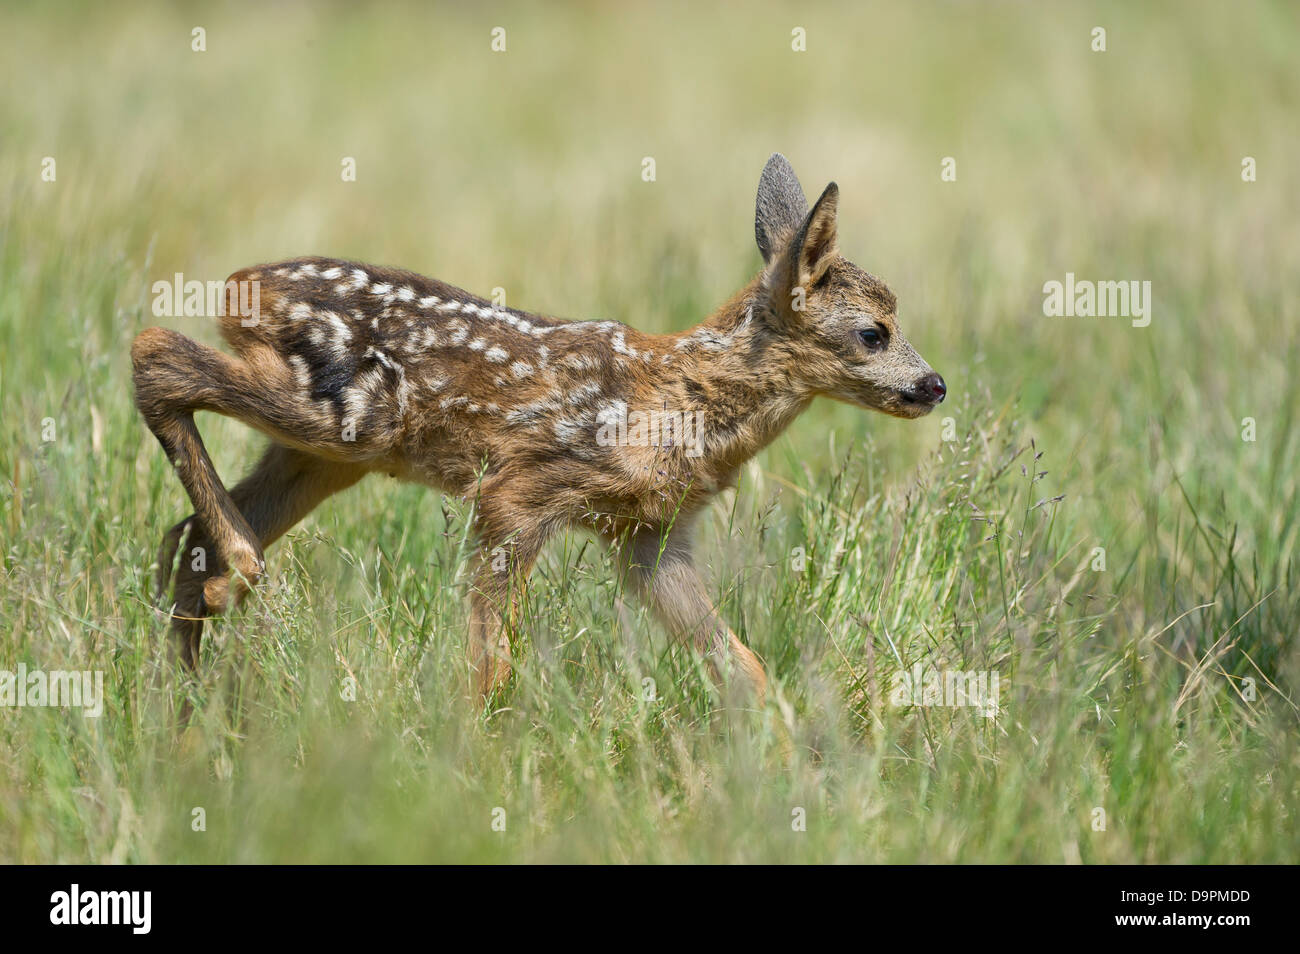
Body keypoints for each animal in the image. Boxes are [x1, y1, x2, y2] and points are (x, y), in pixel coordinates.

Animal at [131, 154, 945, 710]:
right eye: (873, 332)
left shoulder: (650, 537)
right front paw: (475, 756)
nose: (934, 386)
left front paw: (797, 762)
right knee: (155, 353)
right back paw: (237, 576)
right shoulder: (521, 490)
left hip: (322, 454)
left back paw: (183, 704)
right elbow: (492, 658)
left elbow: (740, 663)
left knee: (190, 537)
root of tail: (242, 287)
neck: (682, 401)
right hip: (348, 417)